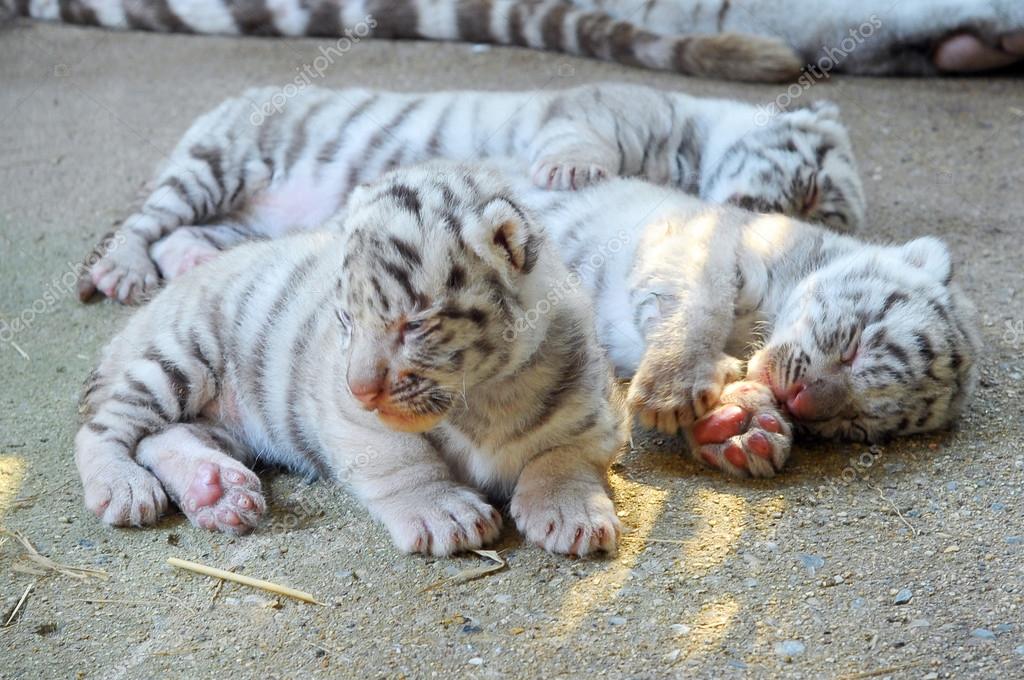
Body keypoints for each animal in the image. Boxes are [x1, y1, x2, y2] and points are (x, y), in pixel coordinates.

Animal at [74, 81, 865, 303]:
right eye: (806, 182)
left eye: (823, 211)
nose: (780, 217)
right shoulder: (595, 109)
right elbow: (581, 143)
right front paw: (574, 172)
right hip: (221, 164)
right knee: (145, 221)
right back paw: (122, 270)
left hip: (244, 222)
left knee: (186, 236)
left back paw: (187, 264)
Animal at [75, 162, 625, 556]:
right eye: (345, 320)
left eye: (413, 325)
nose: (360, 389)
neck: (487, 393)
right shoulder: (352, 419)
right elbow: (404, 460)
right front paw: (444, 514)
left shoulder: (595, 412)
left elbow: (562, 455)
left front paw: (570, 512)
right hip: (180, 355)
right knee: (102, 429)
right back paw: (124, 488)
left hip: (228, 422)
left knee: (163, 437)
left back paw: (217, 492)